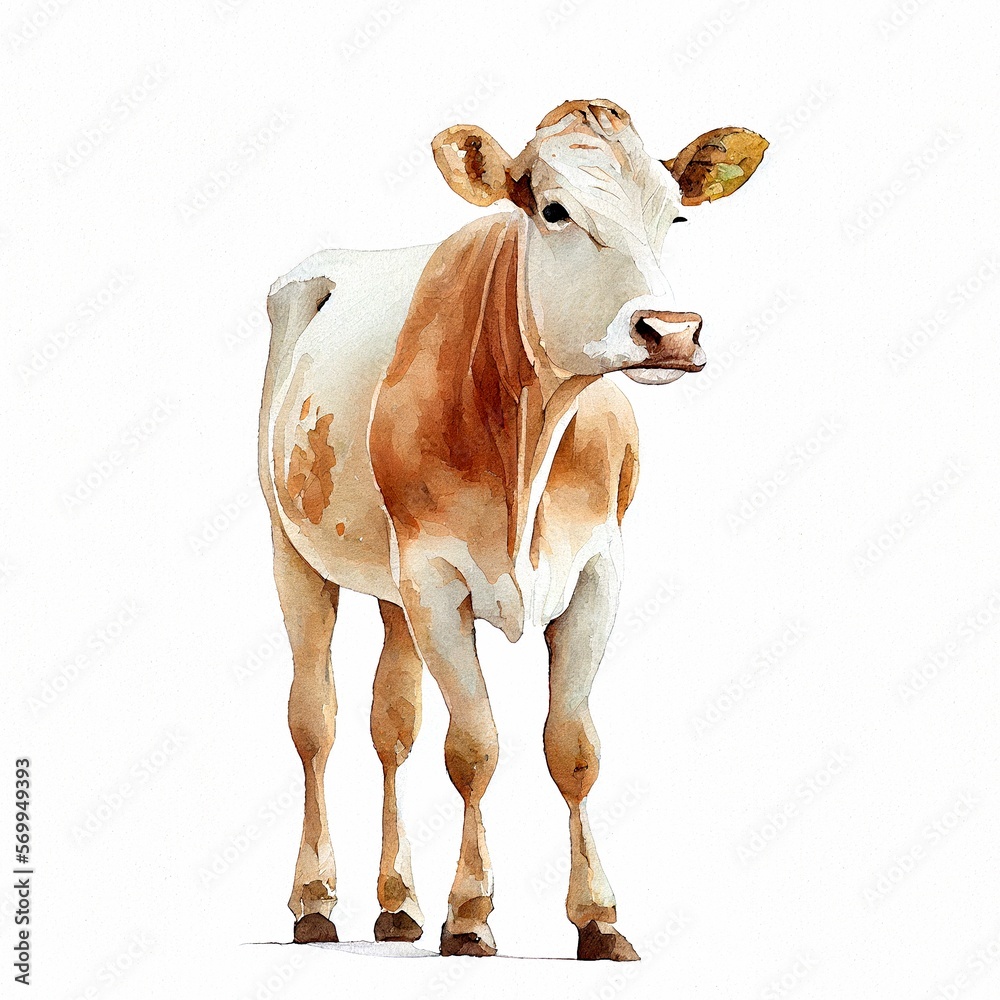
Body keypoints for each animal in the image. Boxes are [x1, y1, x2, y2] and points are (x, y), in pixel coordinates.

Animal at [258, 98, 767, 961]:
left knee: (391, 725)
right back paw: (315, 901)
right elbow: (473, 746)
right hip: (294, 552)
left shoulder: (597, 571)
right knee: (315, 721)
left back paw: (397, 905)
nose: (669, 330)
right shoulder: (433, 580)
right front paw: (470, 914)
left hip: (390, 592)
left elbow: (573, 746)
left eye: (676, 214)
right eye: (554, 211)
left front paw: (599, 918)